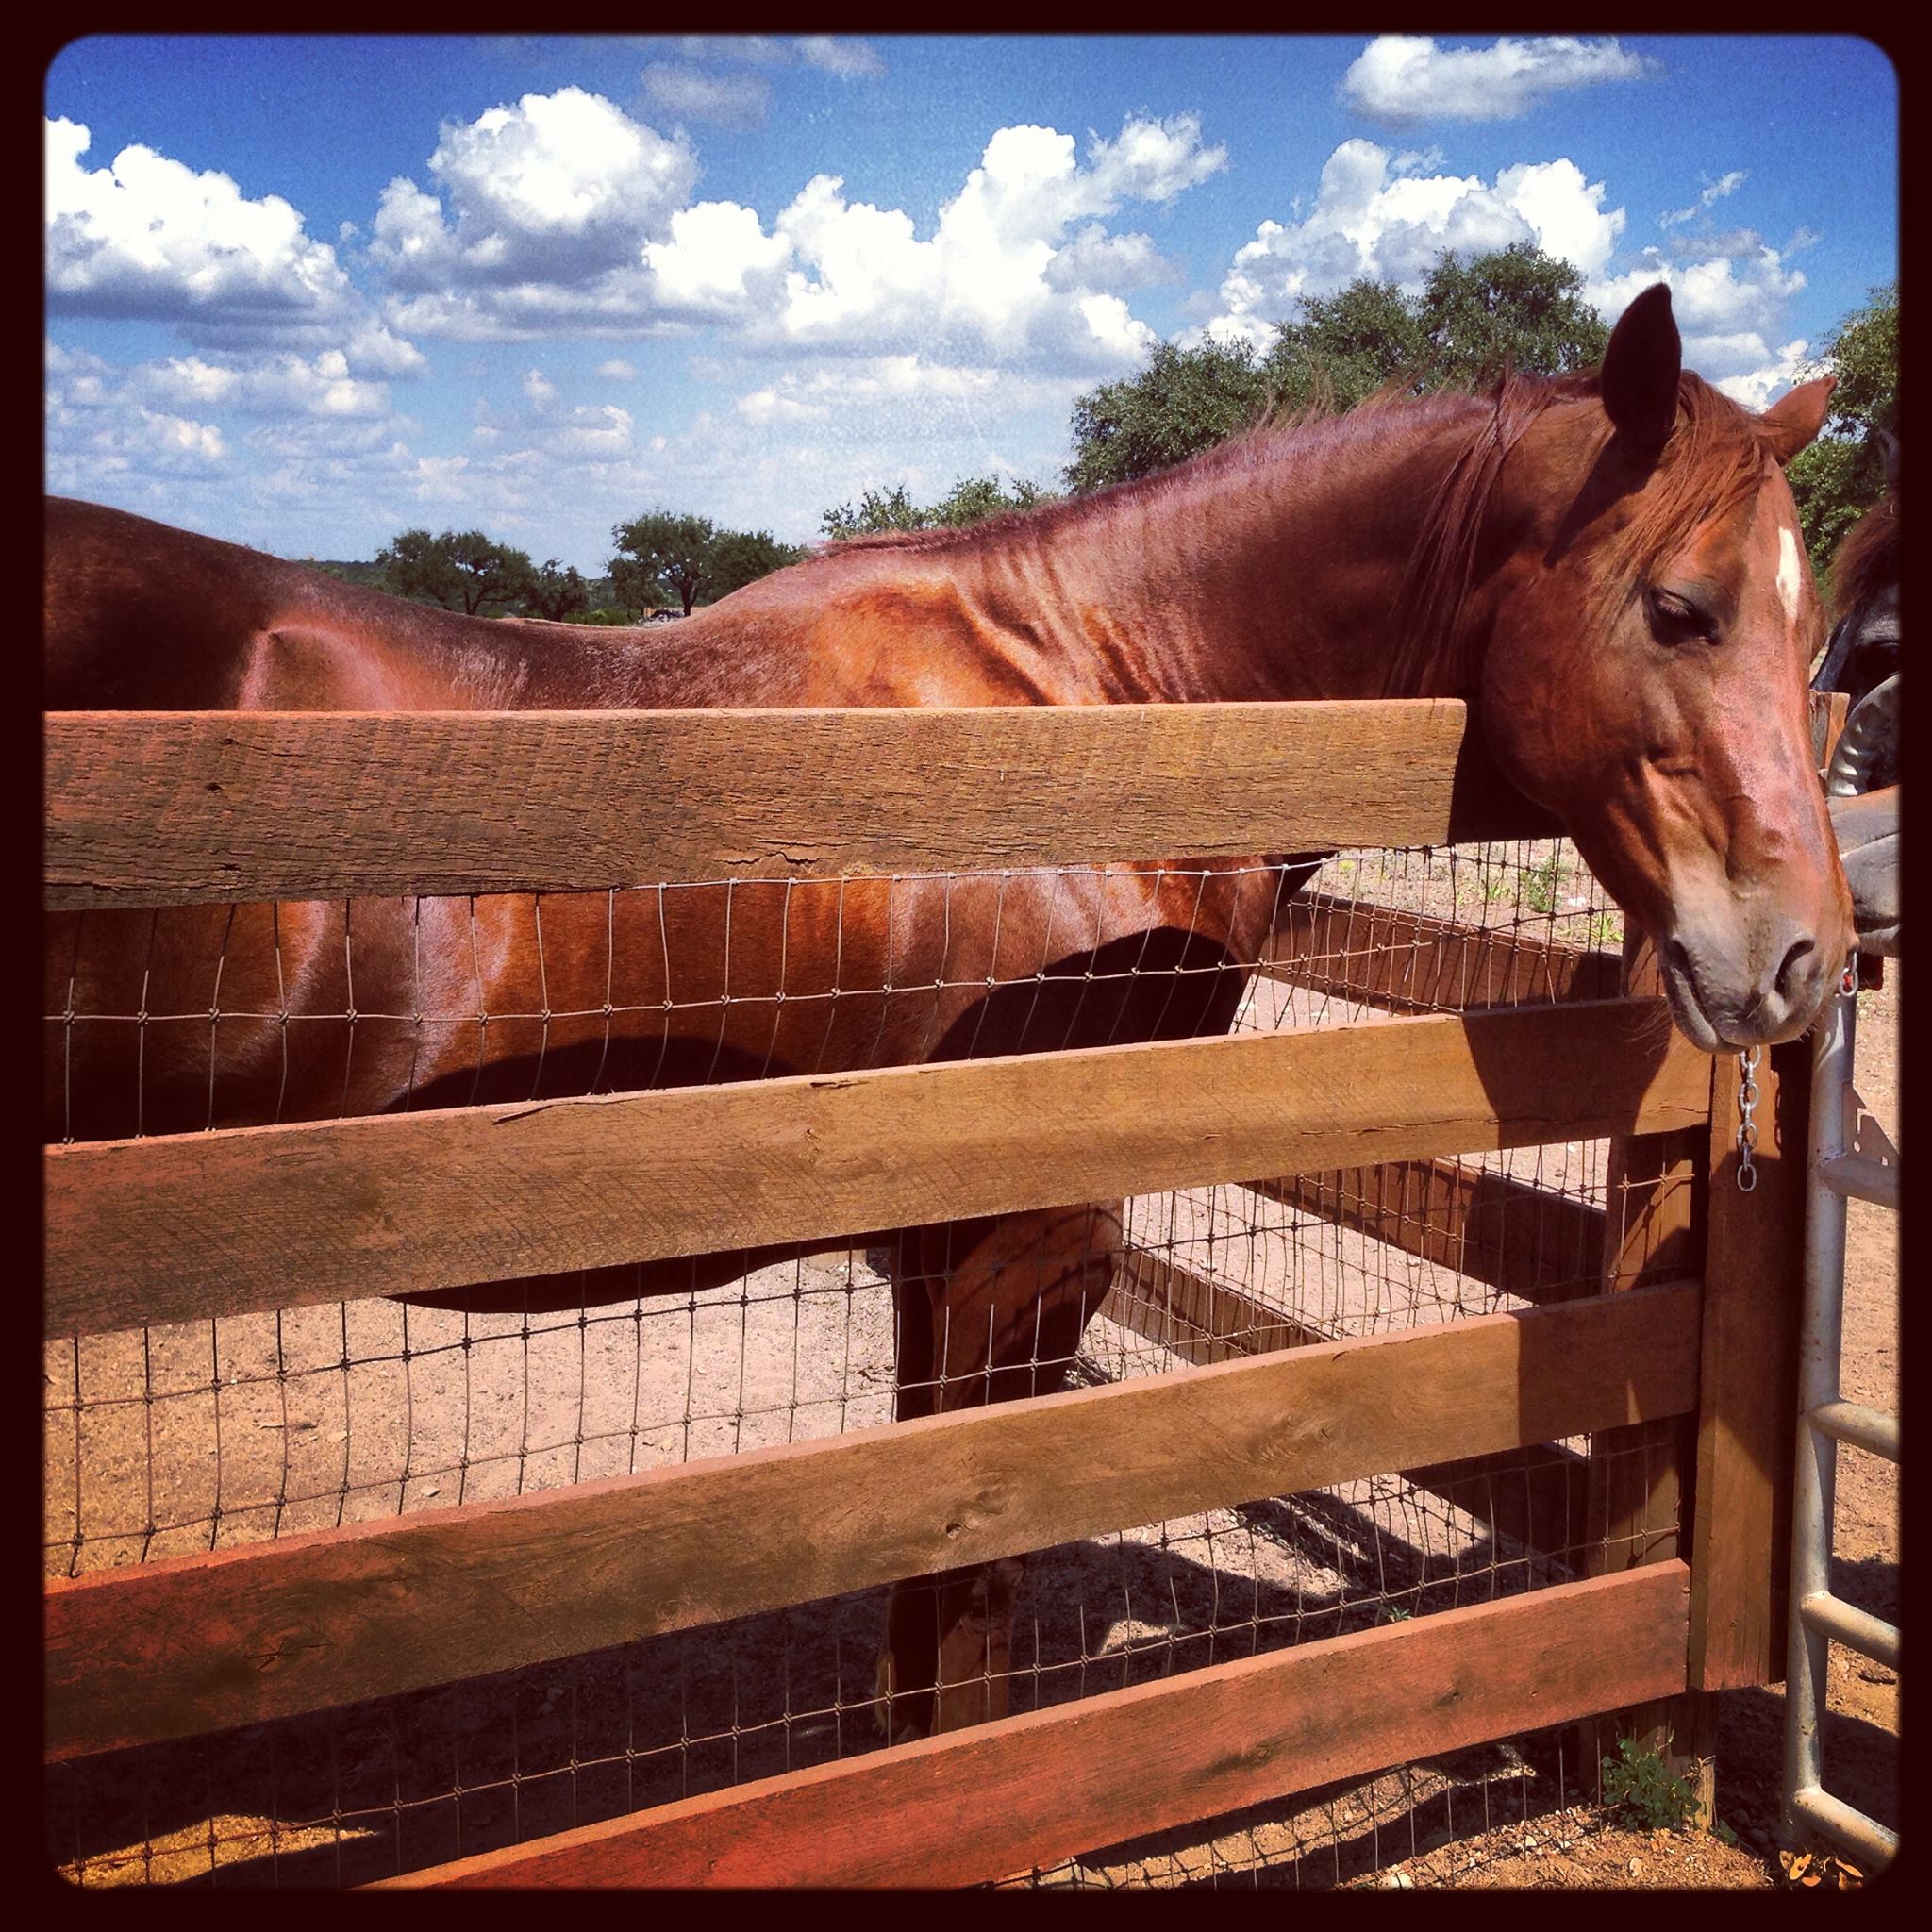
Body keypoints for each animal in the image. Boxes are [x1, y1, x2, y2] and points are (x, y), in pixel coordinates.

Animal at [43, 284, 1853, 1740]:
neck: (1097, 704)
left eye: (1820, 621)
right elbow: (975, 1548)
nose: (1801, 959)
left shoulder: (930, 1237)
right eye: (1677, 607)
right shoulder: (1021, 1233)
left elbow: (923, 1547)